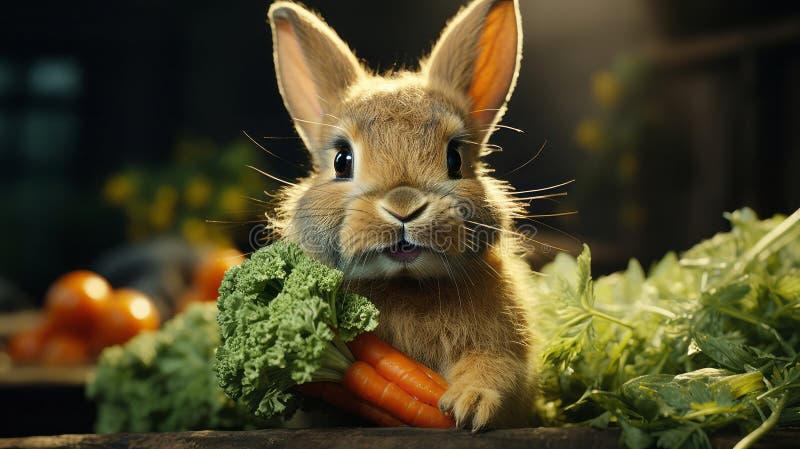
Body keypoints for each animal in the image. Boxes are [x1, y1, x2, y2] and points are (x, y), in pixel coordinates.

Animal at [266, 0, 537, 431]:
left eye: (455, 157)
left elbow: (497, 370)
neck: (407, 285)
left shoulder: (506, 351)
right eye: (342, 160)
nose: (404, 208)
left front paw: (470, 405)